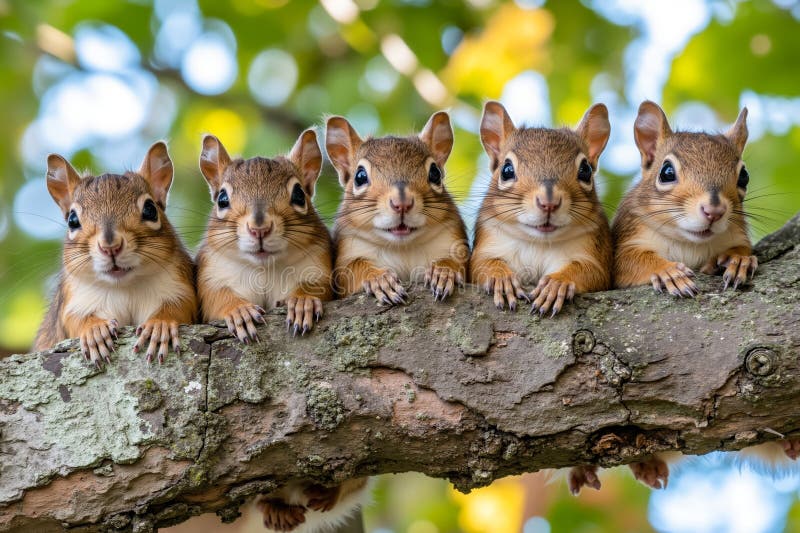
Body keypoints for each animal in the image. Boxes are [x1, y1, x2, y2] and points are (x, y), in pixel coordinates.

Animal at [33, 142, 197, 366]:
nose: (110, 246)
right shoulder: (71, 302)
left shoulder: (179, 287)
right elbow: (75, 320)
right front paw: (94, 331)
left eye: (150, 209)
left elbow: (180, 307)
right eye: (72, 220)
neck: (124, 287)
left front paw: (159, 325)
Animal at [195, 129, 333, 339]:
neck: (264, 269)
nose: (259, 229)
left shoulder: (317, 265)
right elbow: (217, 299)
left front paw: (303, 302)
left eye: (299, 194)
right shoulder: (212, 276)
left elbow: (317, 286)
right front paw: (239, 311)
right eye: (222, 199)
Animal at [325, 111, 469, 304]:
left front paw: (444, 271)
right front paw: (380, 280)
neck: (403, 248)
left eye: (435, 173)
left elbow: (456, 262)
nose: (402, 203)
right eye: (360, 177)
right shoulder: (347, 254)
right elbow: (353, 270)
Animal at [469, 101, 613, 315]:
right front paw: (501, 279)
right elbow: (481, 264)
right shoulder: (489, 241)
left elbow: (589, 271)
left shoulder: (594, 254)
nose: (549, 202)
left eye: (586, 170)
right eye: (506, 170)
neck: (537, 243)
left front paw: (557, 284)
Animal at [569, 101, 797, 494]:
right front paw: (668, 273)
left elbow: (739, 249)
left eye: (744, 176)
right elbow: (636, 264)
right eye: (666, 172)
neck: (690, 243)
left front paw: (738, 260)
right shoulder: (623, 252)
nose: (714, 210)